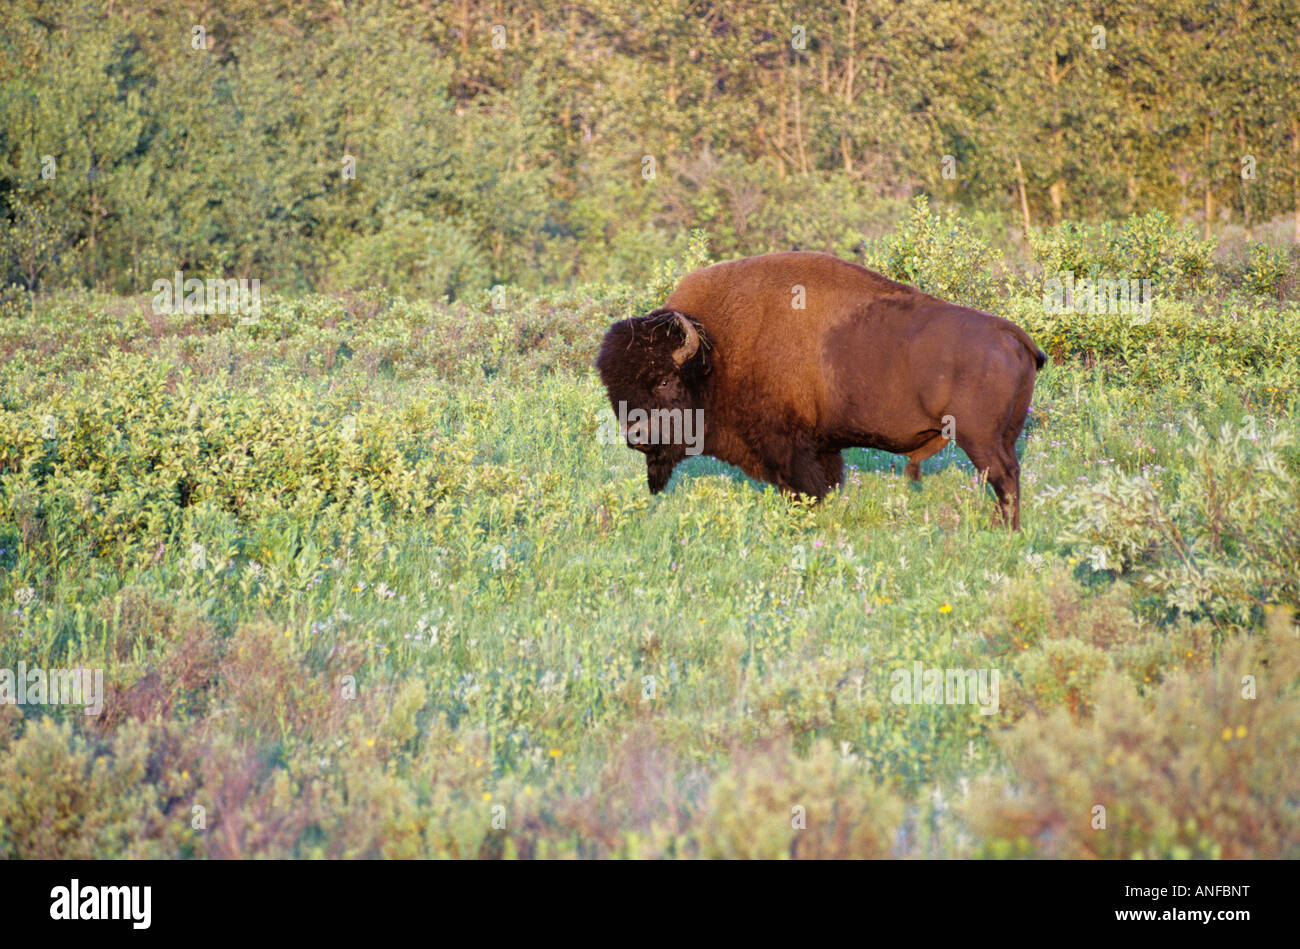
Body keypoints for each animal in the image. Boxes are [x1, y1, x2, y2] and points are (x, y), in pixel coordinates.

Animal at [595, 251, 1046, 528]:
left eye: (664, 380)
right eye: (615, 392)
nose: (636, 436)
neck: (717, 353)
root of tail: (1010, 334)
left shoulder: (790, 449)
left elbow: (805, 490)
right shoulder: (821, 448)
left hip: (979, 439)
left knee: (1004, 478)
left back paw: (1005, 531)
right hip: (1004, 436)